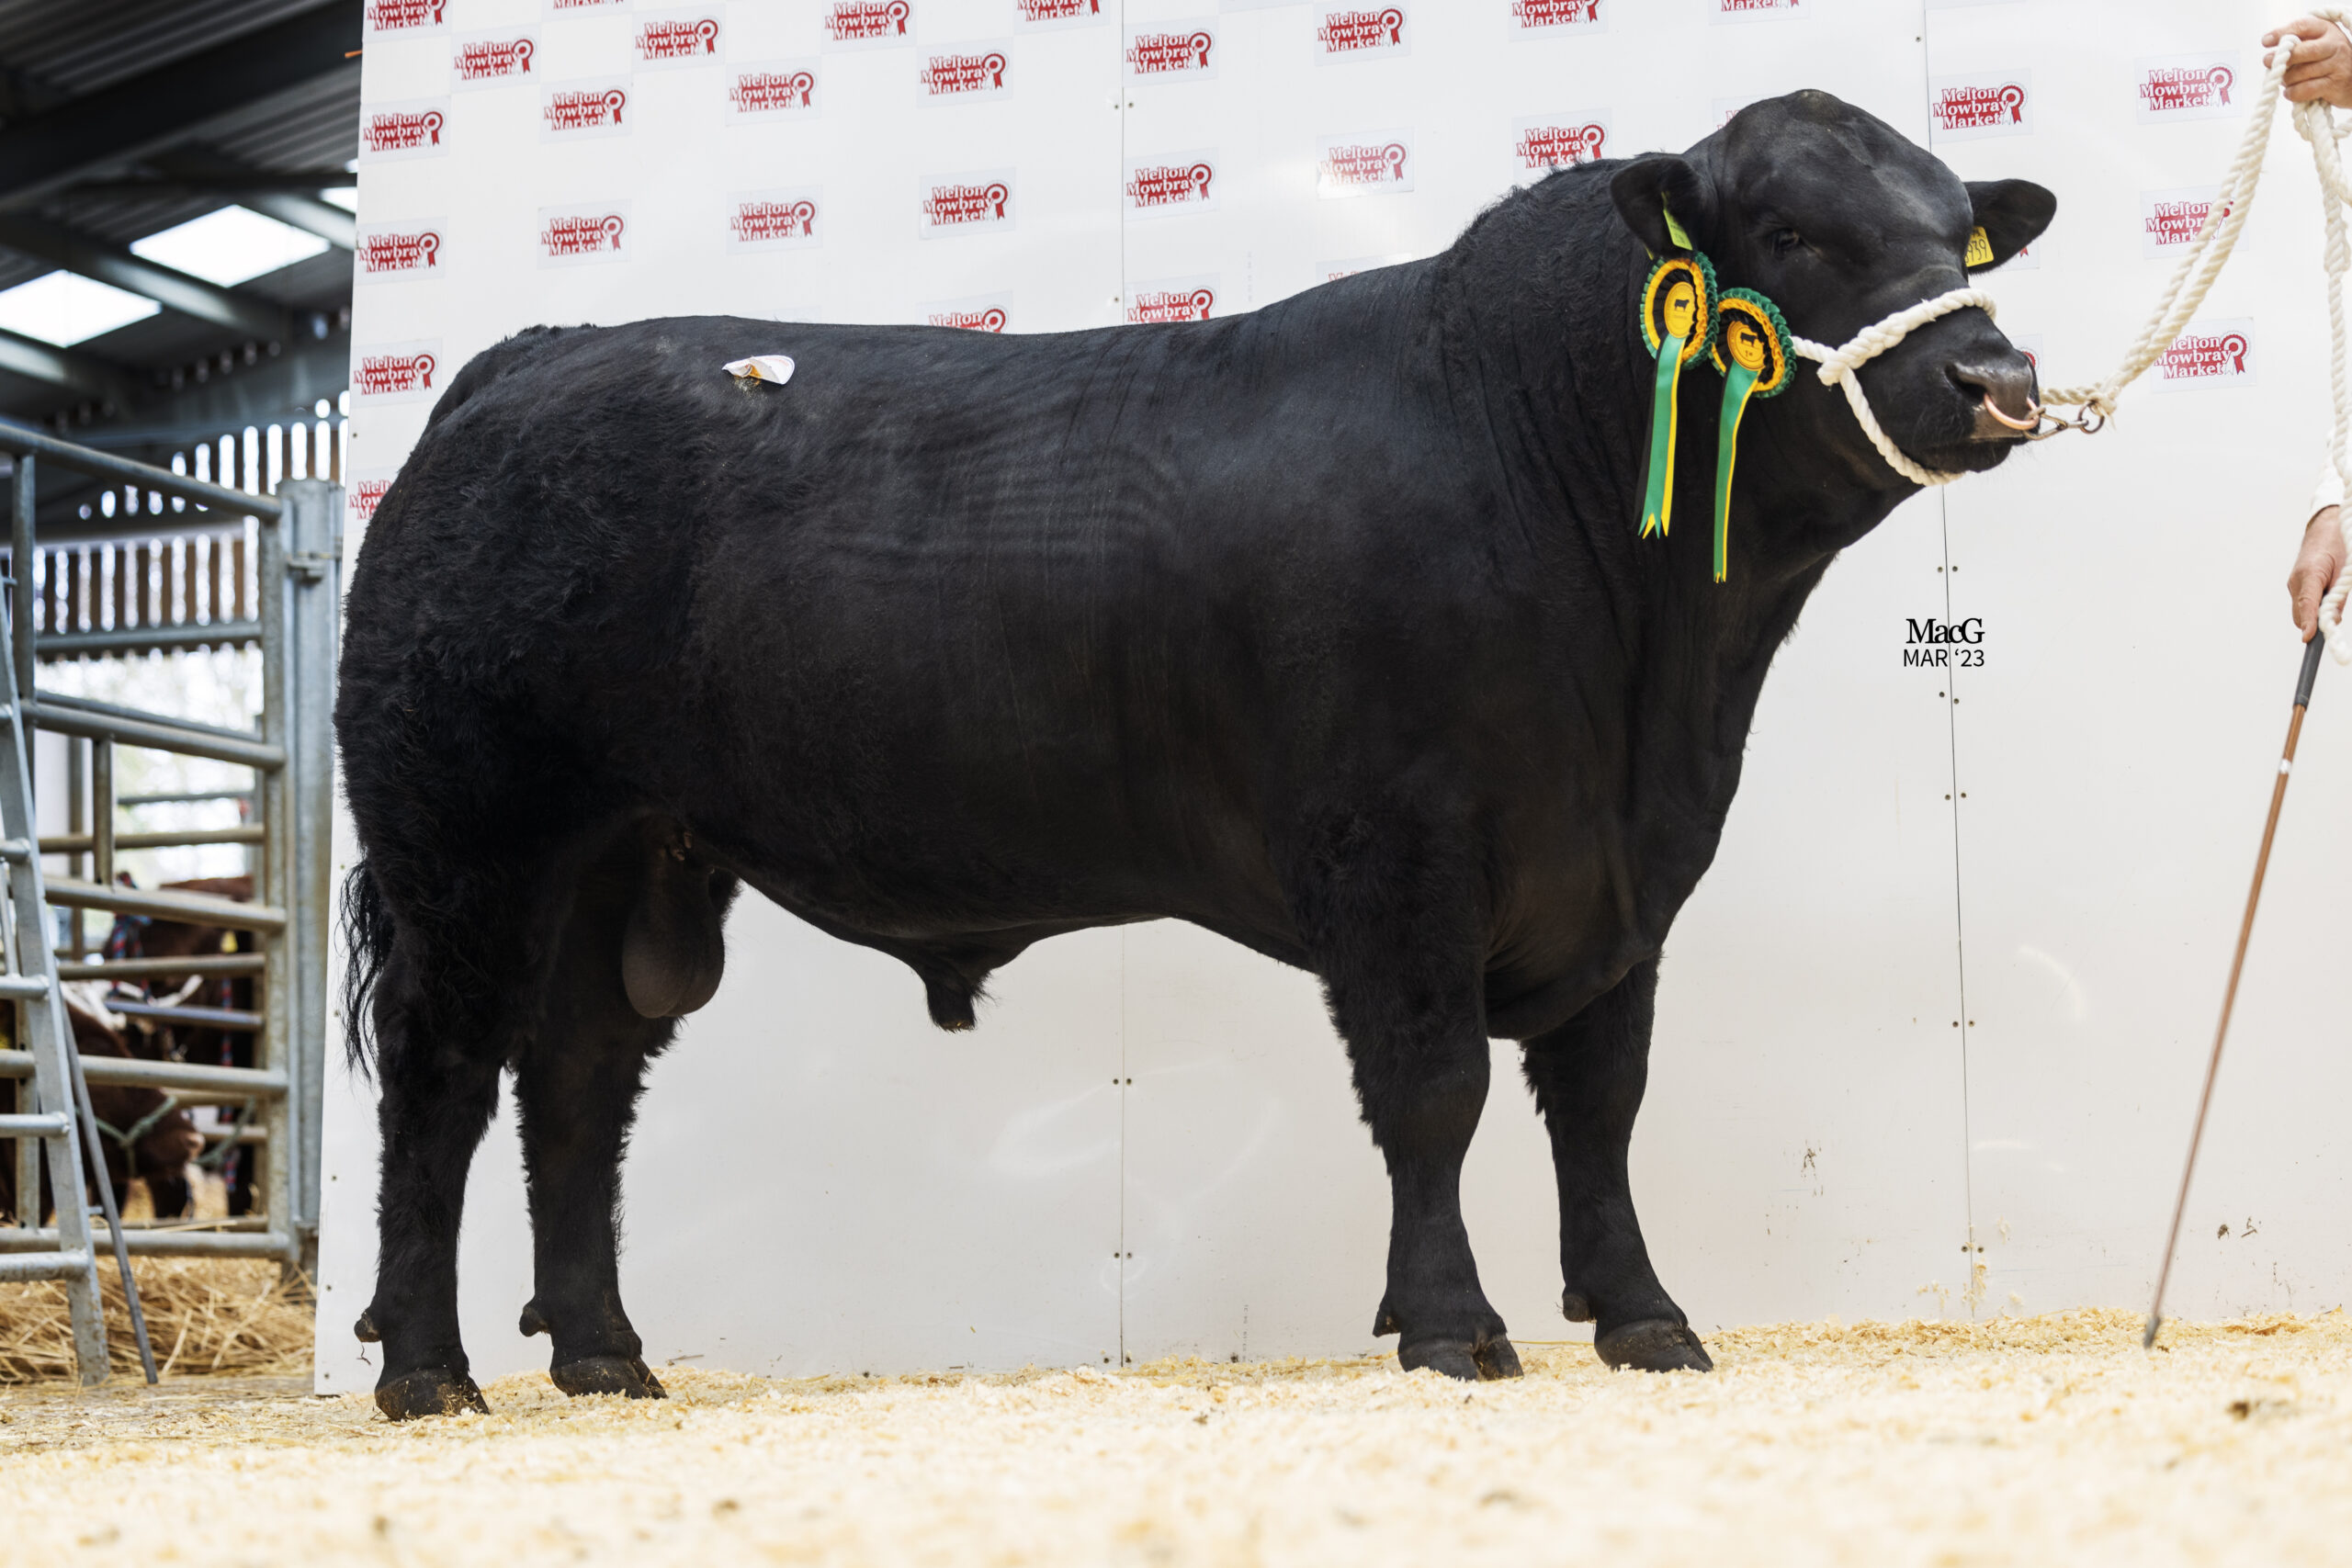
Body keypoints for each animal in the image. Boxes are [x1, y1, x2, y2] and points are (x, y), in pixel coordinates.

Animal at [337, 90, 2054, 1419]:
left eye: (1957, 231)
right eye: (1797, 235)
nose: (1998, 378)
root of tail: (532, 356)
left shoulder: (1620, 873)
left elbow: (1601, 1102)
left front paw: (1645, 1317)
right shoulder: (1396, 851)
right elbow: (1435, 1091)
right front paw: (1455, 1324)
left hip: (630, 862)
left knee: (576, 1084)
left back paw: (605, 1359)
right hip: (464, 849)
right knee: (440, 1083)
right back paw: (427, 1368)